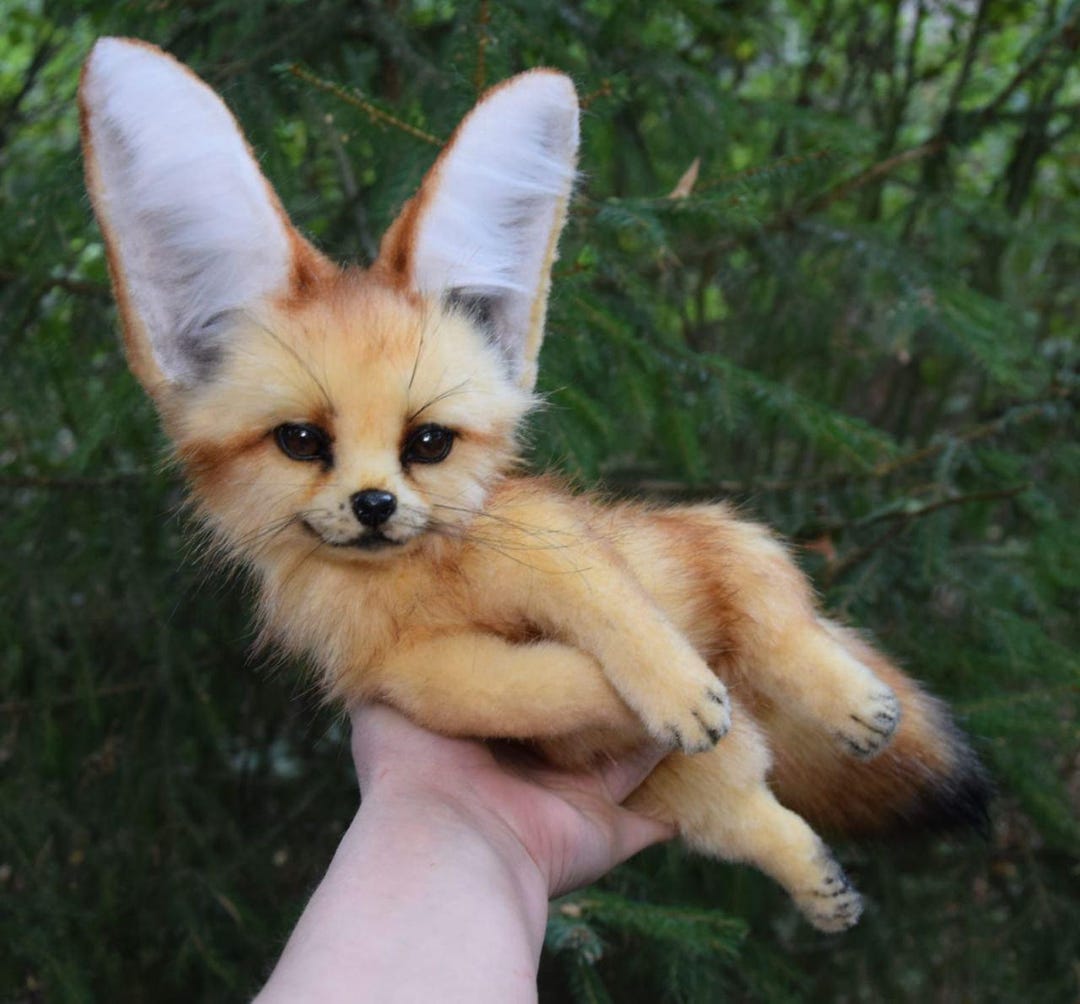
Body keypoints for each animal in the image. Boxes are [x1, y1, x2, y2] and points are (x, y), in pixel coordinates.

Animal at [79, 38, 989, 933]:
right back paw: (821, 886)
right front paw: (632, 699)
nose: (374, 505)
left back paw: (858, 706)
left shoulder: (560, 549)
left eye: (428, 443)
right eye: (301, 442)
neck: (429, 587)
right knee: (766, 820)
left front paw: (678, 687)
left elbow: (626, 619)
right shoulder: (408, 677)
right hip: (695, 793)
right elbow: (527, 692)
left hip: (734, 544)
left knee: (790, 634)